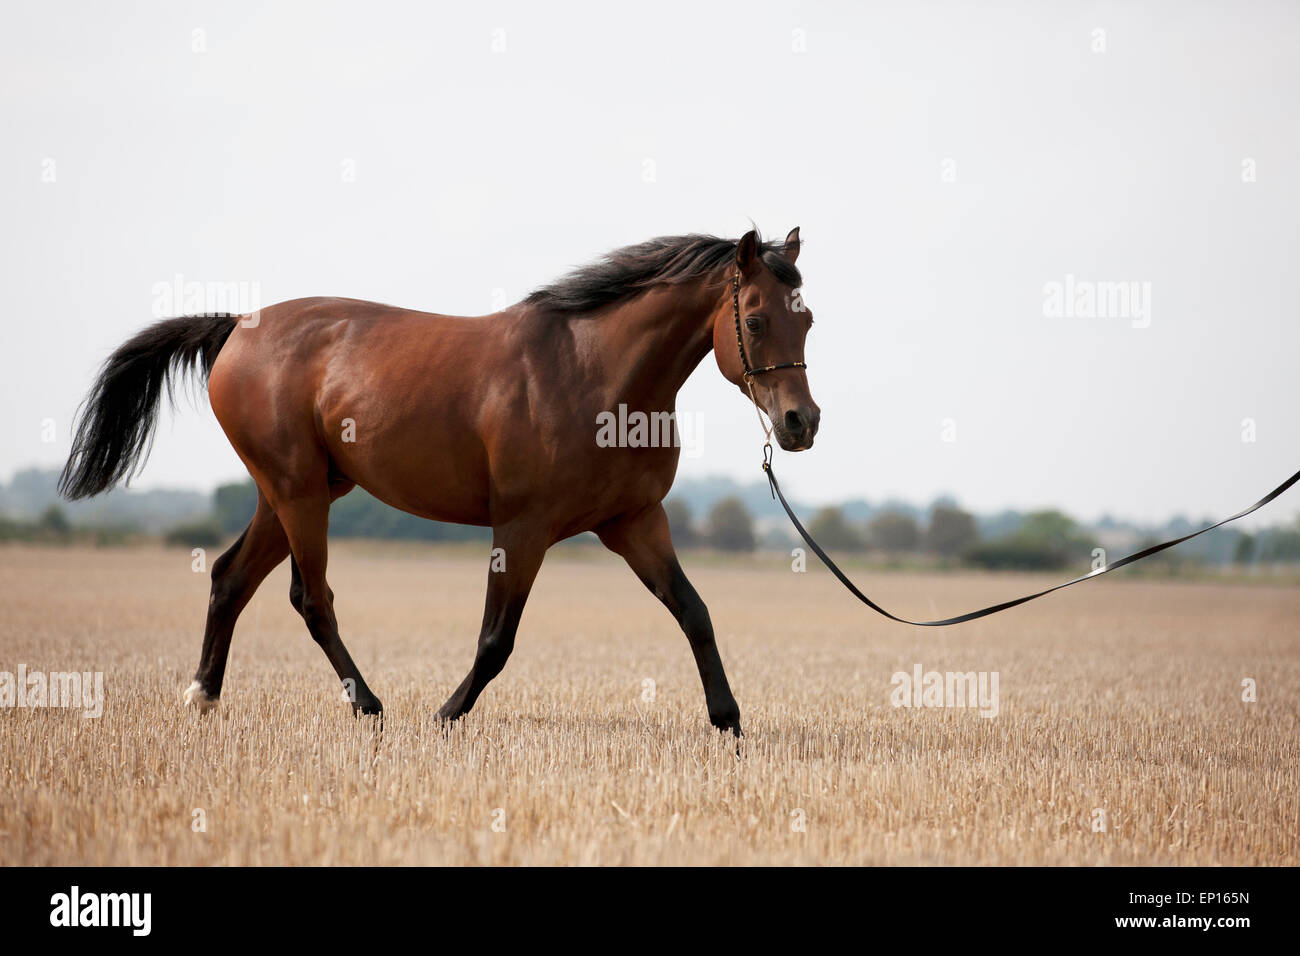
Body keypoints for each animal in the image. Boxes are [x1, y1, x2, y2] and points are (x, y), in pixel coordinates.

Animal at [58, 228, 819, 736]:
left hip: (297, 492)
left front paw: (728, 722)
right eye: (755, 318)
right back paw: (367, 704)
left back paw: (204, 696)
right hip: (298, 492)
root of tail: (236, 329)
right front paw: (446, 713)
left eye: (807, 317)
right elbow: (496, 640)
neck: (593, 373)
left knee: (229, 578)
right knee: (311, 597)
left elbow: (694, 612)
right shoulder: (523, 527)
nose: (800, 422)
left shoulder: (635, 523)